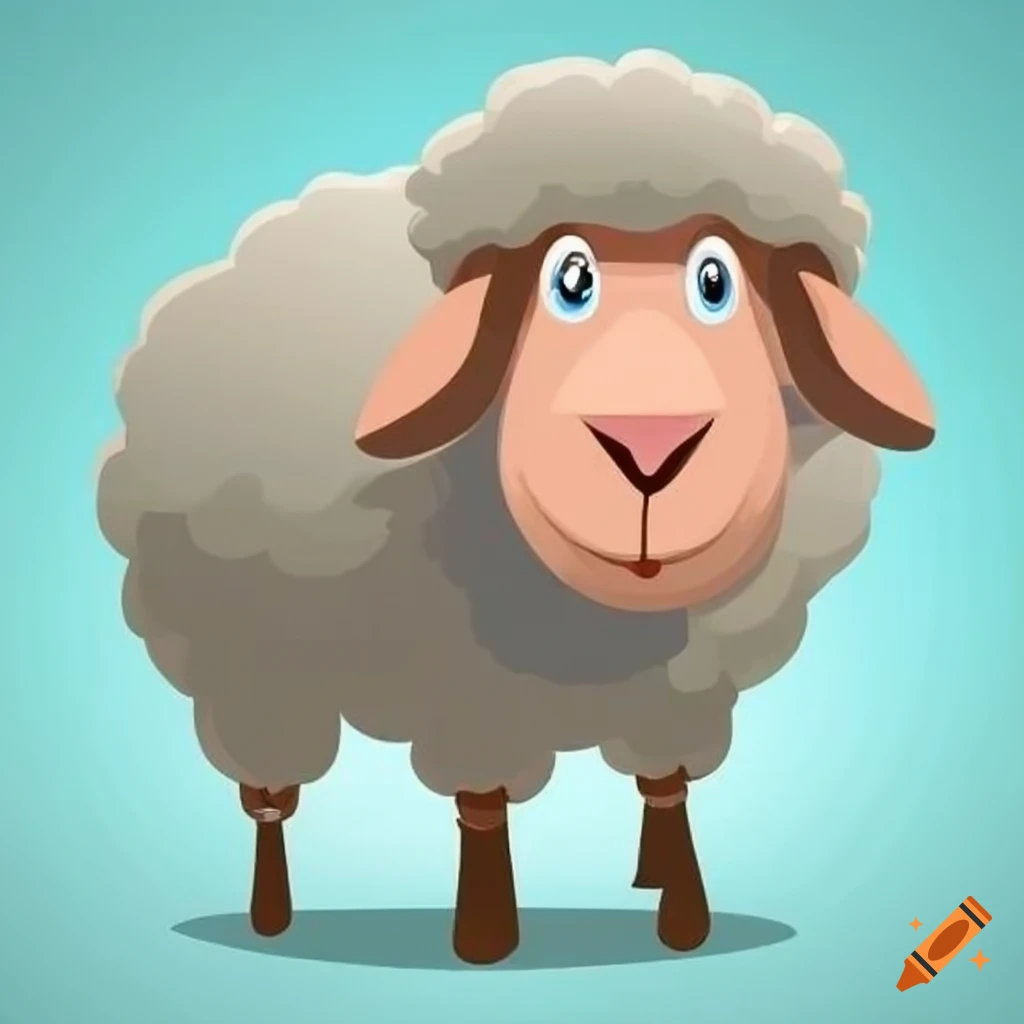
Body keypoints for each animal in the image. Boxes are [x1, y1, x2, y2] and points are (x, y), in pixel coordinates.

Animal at [95, 49, 935, 966]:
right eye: (570, 278)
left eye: (716, 280)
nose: (650, 447)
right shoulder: (475, 695)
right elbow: (484, 806)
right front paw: (487, 935)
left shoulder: (681, 692)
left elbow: (666, 785)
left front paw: (681, 915)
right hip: (253, 671)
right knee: (268, 797)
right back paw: (271, 913)